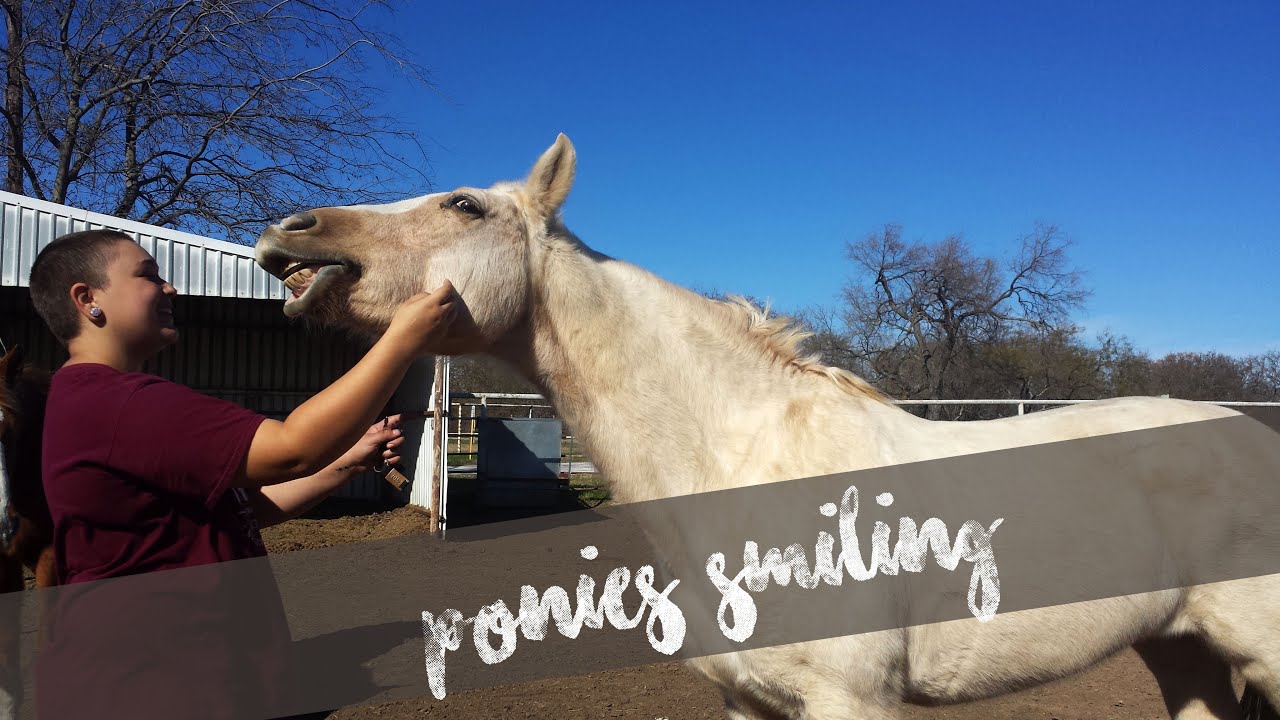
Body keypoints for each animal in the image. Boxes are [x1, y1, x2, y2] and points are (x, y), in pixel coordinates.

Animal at [253, 134, 1280, 720]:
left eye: (464, 204)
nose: (288, 232)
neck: (741, 463)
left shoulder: (852, 705)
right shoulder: (748, 701)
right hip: (1183, 652)